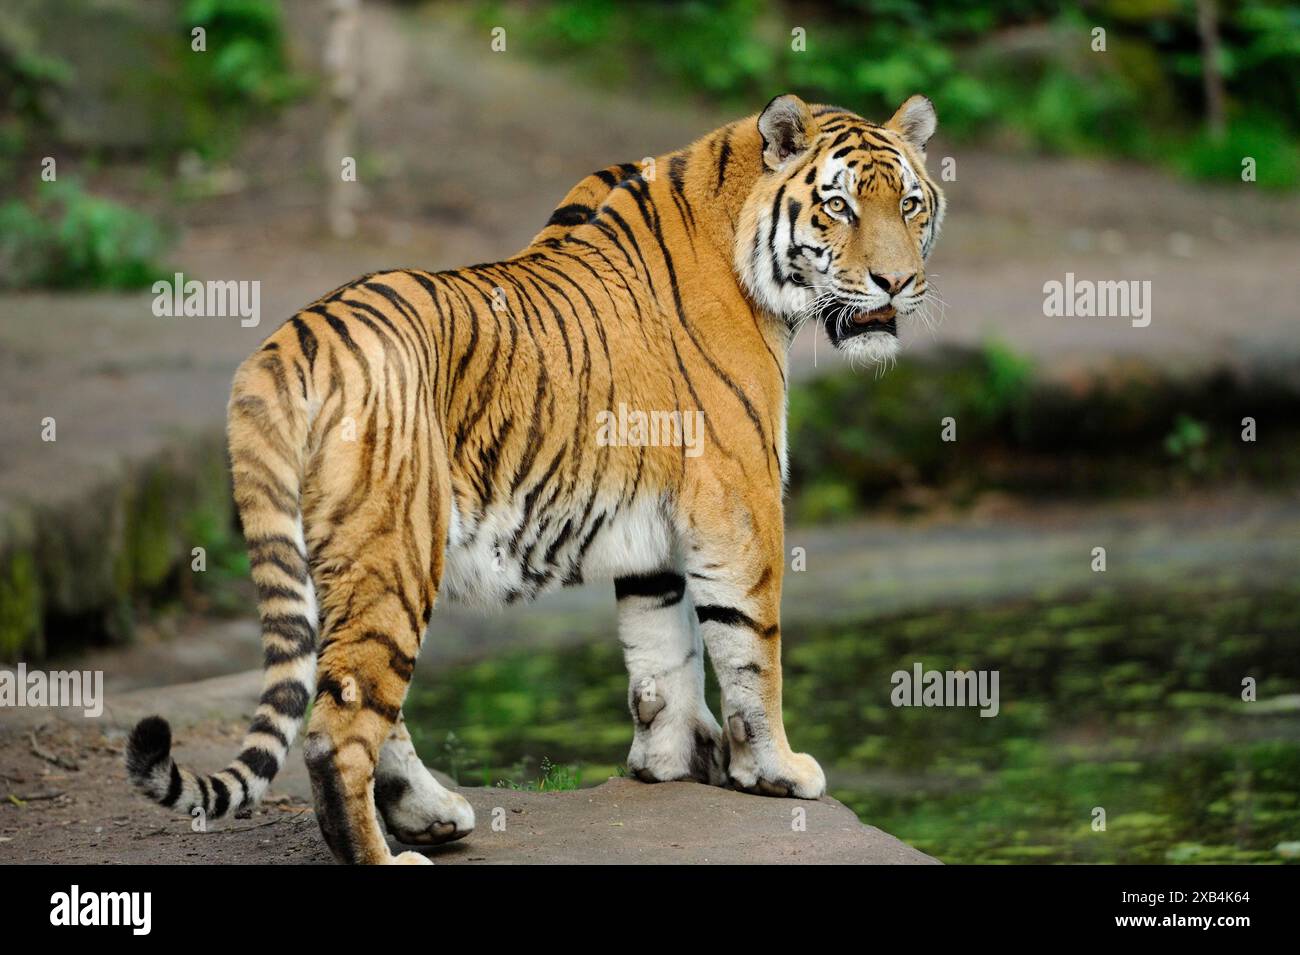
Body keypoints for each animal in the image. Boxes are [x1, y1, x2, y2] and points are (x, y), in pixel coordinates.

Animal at [125, 93, 946, 864]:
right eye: (839, 206)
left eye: (909, 203)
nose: (896, 282)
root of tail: (288, 343)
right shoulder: (740, 503)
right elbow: (751, 647)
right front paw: (775, 768)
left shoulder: (654, 524)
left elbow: (662, 644)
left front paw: (674, 758)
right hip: (394, 552)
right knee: (336, 729)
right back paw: (390, 854)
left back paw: (432, 813)